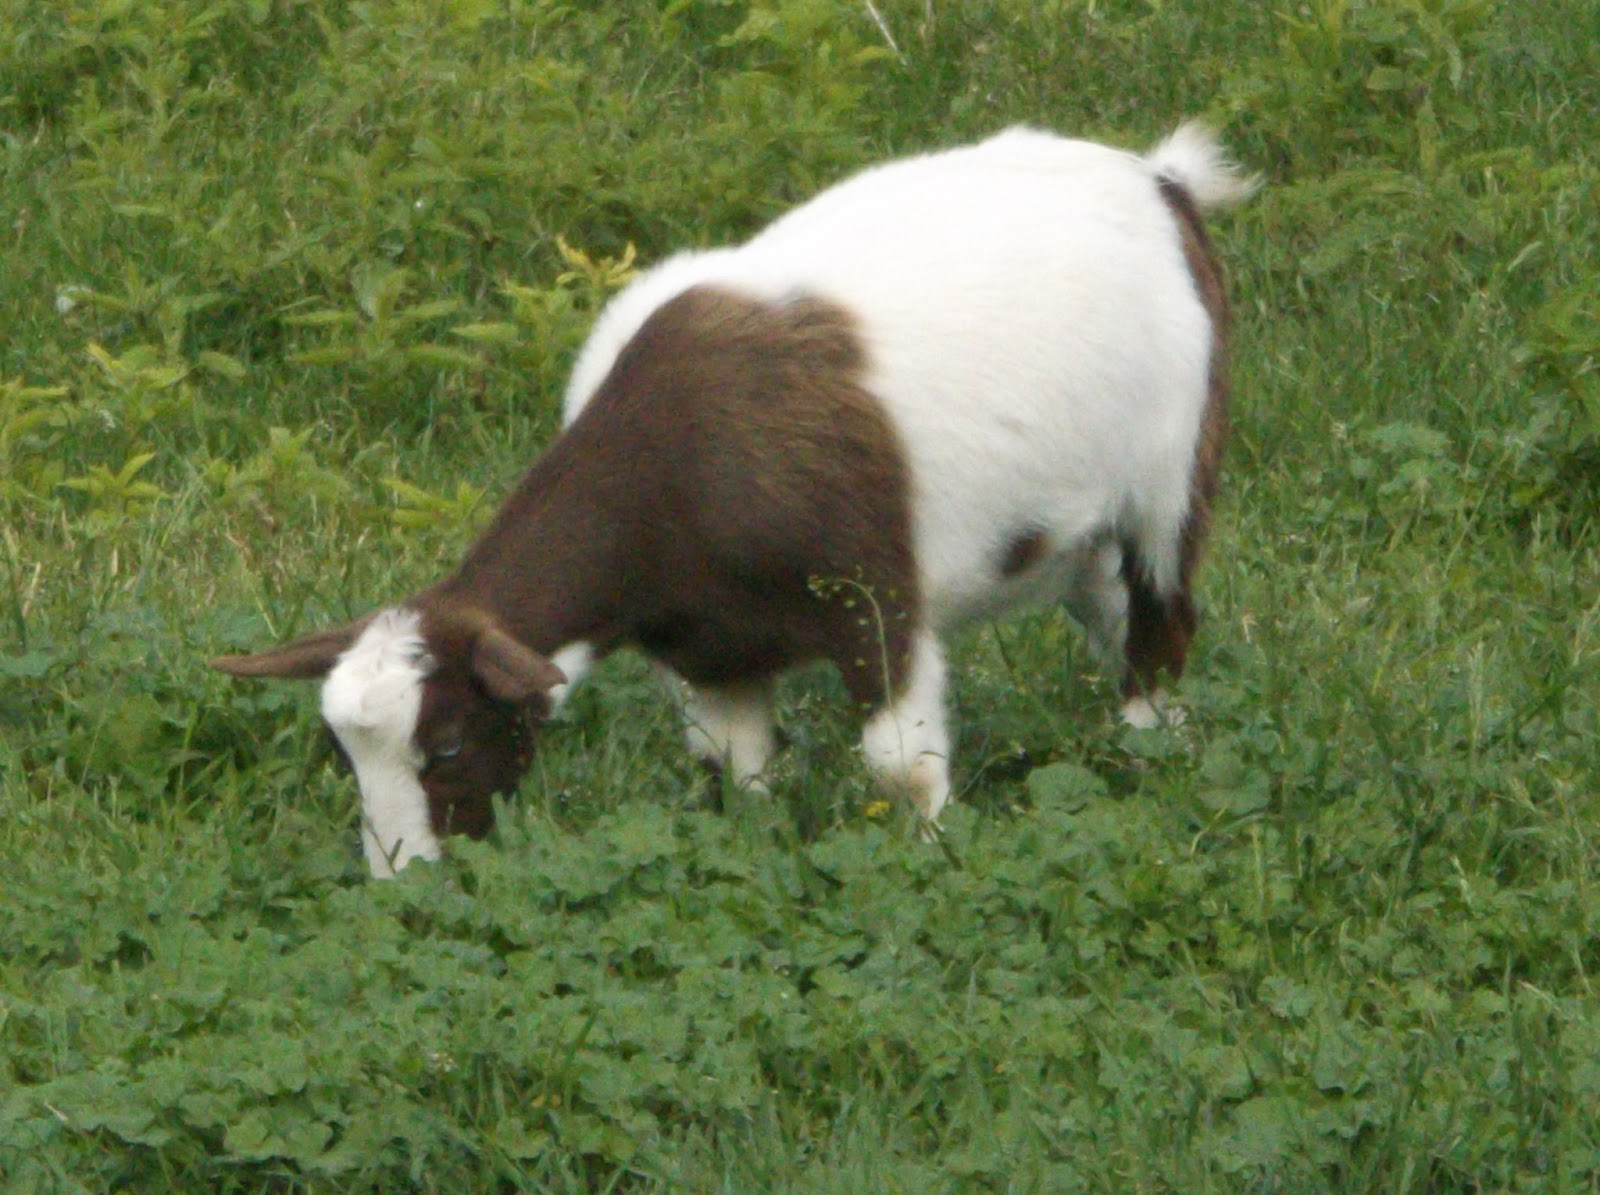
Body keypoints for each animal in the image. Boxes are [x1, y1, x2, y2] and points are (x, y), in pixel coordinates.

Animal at [212, 122, 1254, 877]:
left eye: (451, 745)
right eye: (346, 757)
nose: (404, 884)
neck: (675, 469)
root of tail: (1161, 181)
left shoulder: (875, 596)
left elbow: (902, 767)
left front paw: (931, 861)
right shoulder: (706, 646)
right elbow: (734, 765)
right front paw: (749, 843)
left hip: (1169, 473)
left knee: (1162, 621)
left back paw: (1151, 760)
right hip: (1075, 535)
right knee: (1114, 620)